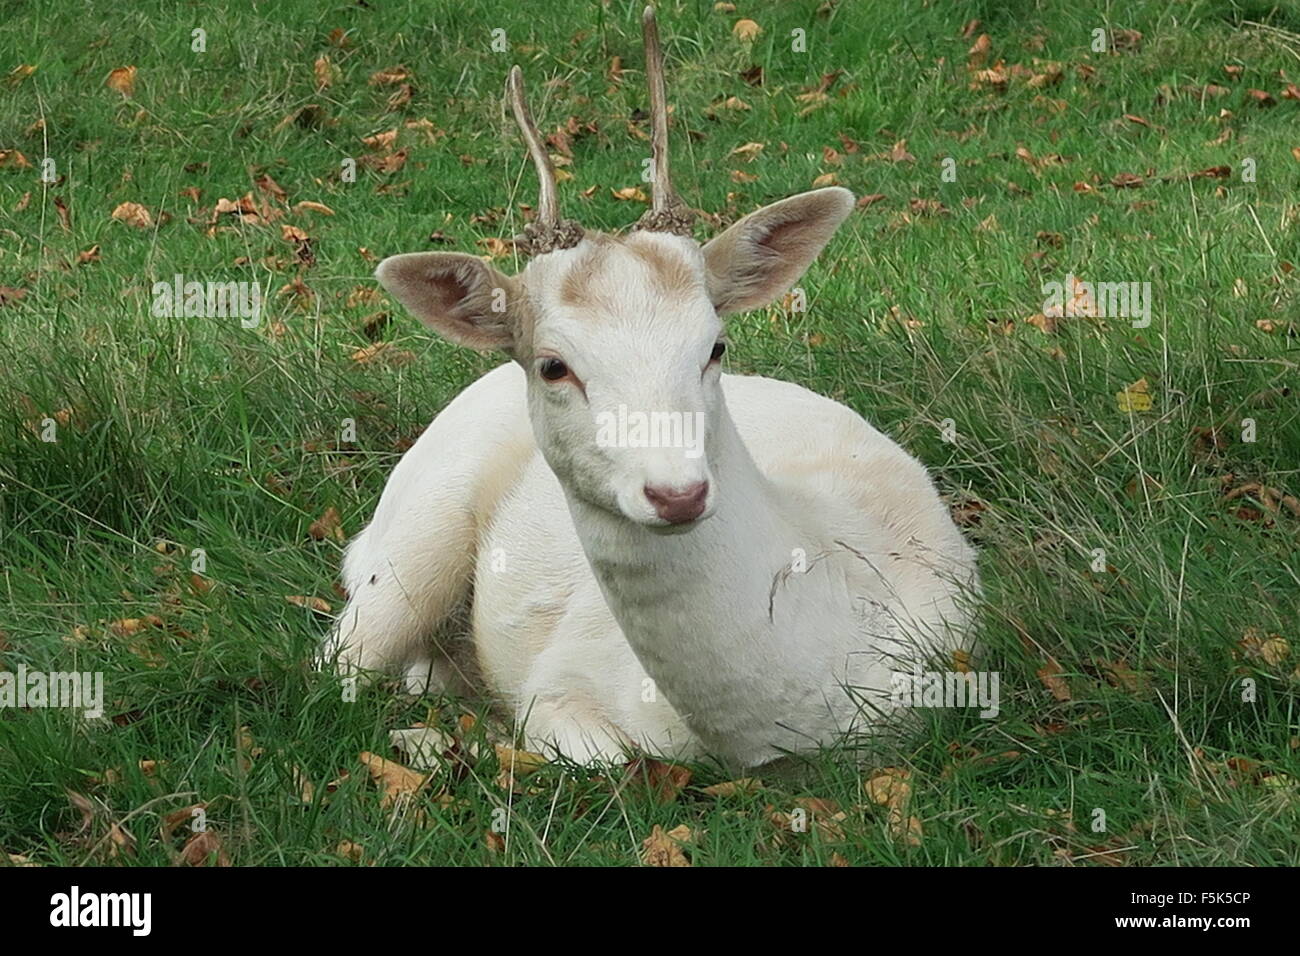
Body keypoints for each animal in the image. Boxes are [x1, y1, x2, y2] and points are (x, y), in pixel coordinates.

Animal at [320, 6, 978, 769]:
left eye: (715, 344)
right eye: (552, 365)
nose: (677, 493)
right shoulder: (557, 678)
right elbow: (601, 757)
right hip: (411, 545)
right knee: (336, 662)